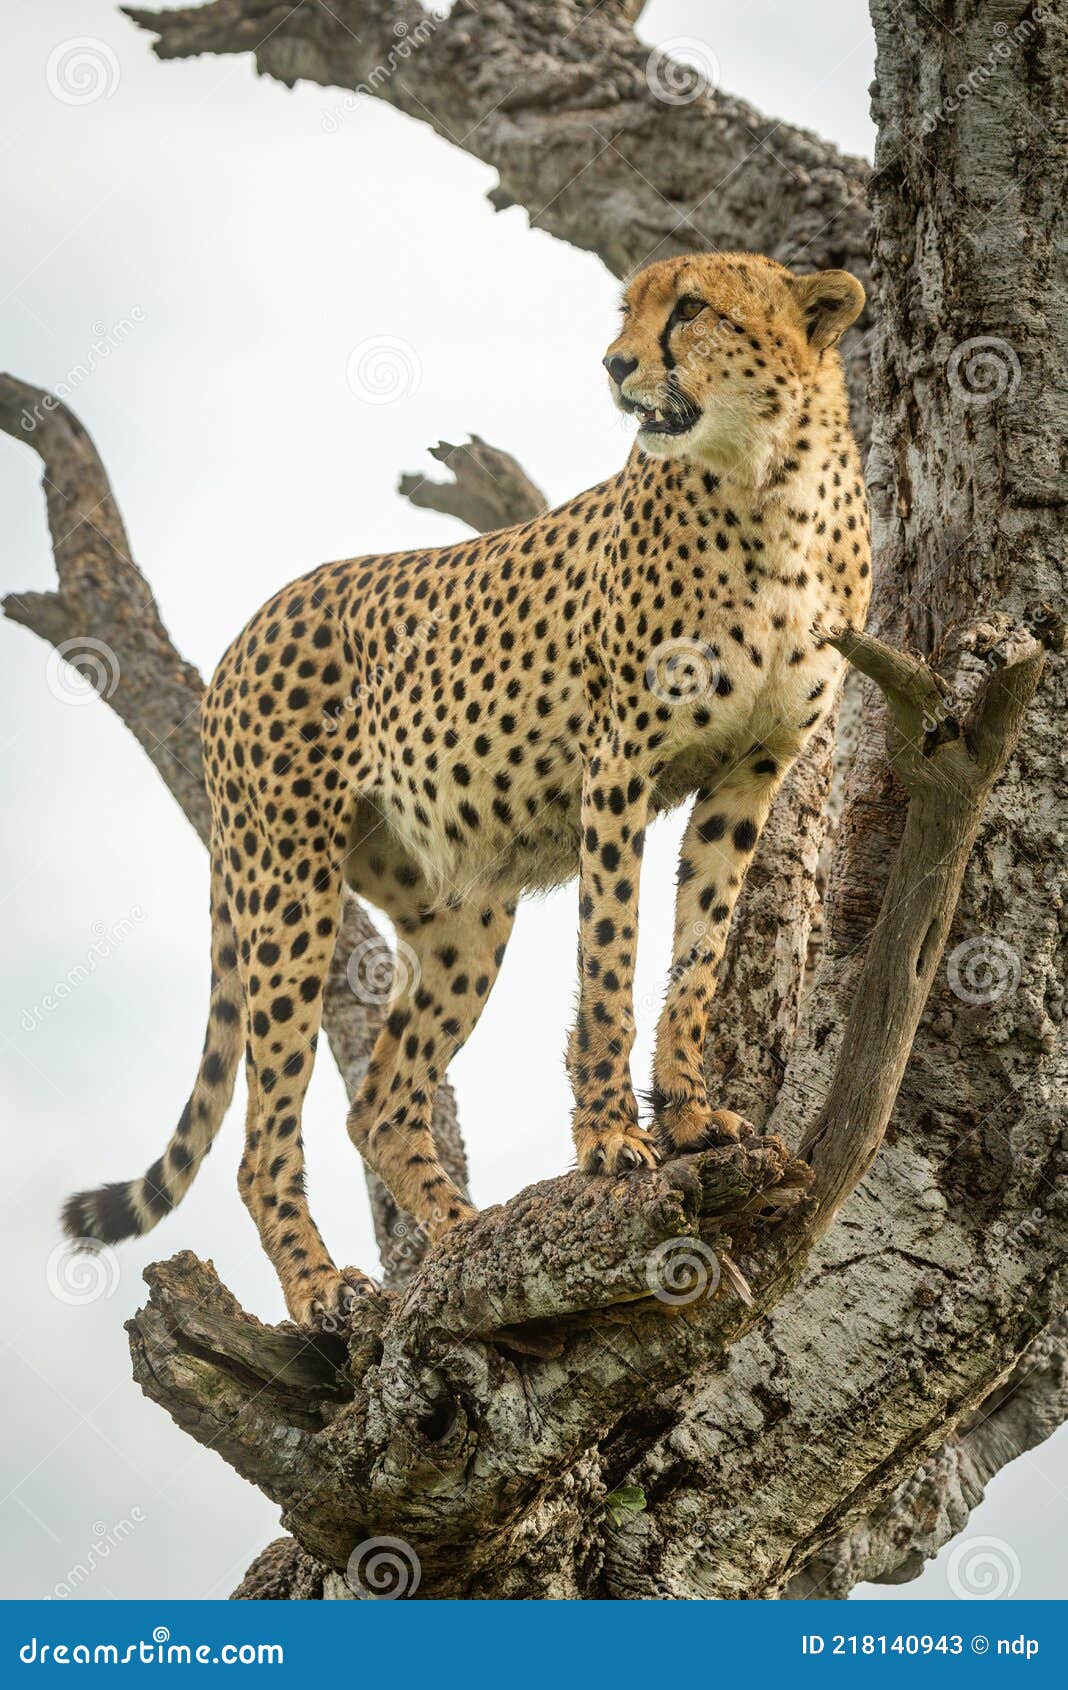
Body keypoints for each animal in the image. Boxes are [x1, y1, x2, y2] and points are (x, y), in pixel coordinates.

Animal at [62, 251, 870, 1328]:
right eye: (629, 308)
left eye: (692, 307)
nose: (615, 364)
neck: (770, 484)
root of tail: (257, 619)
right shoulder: (617, 769)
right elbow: (609, 963)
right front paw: (610, 1142)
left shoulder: (750, 771)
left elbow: (697, 955)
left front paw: (692, 1113)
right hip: (287, 883)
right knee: (264, 1135)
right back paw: (321, 1287)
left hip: (460, 912)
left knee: (382, 1101)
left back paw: (463, 1234)